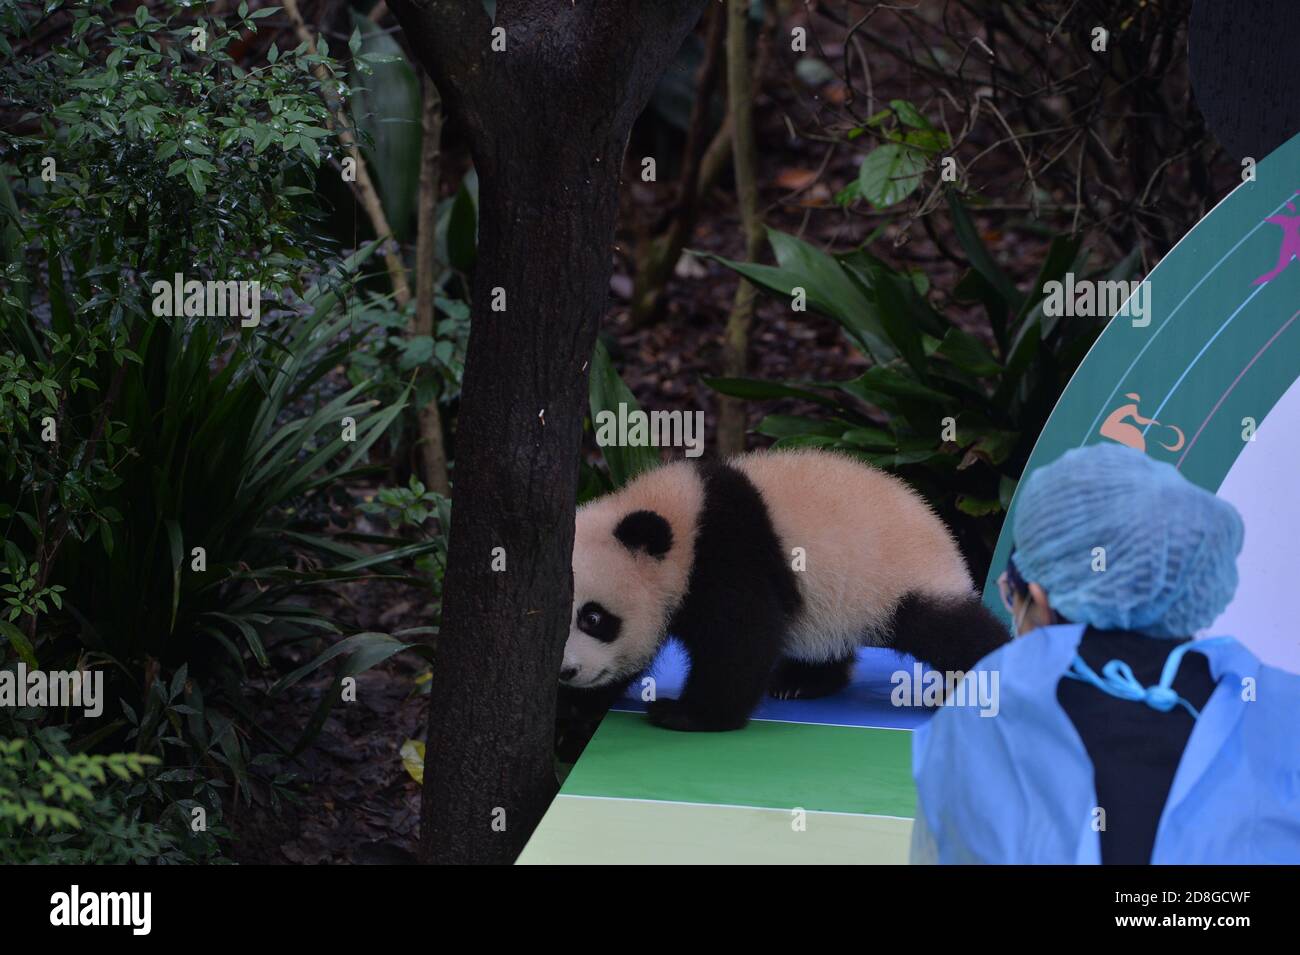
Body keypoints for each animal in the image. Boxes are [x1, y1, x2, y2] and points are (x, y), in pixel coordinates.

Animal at [561, 448, 1010, 731]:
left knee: (948, 629)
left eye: (594, 618)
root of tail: (941, 527)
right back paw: (801, 682)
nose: (568, 672)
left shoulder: (727, 555)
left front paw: (687, 715)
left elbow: (741, 637)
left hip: (902, 579)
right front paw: (577, 710)